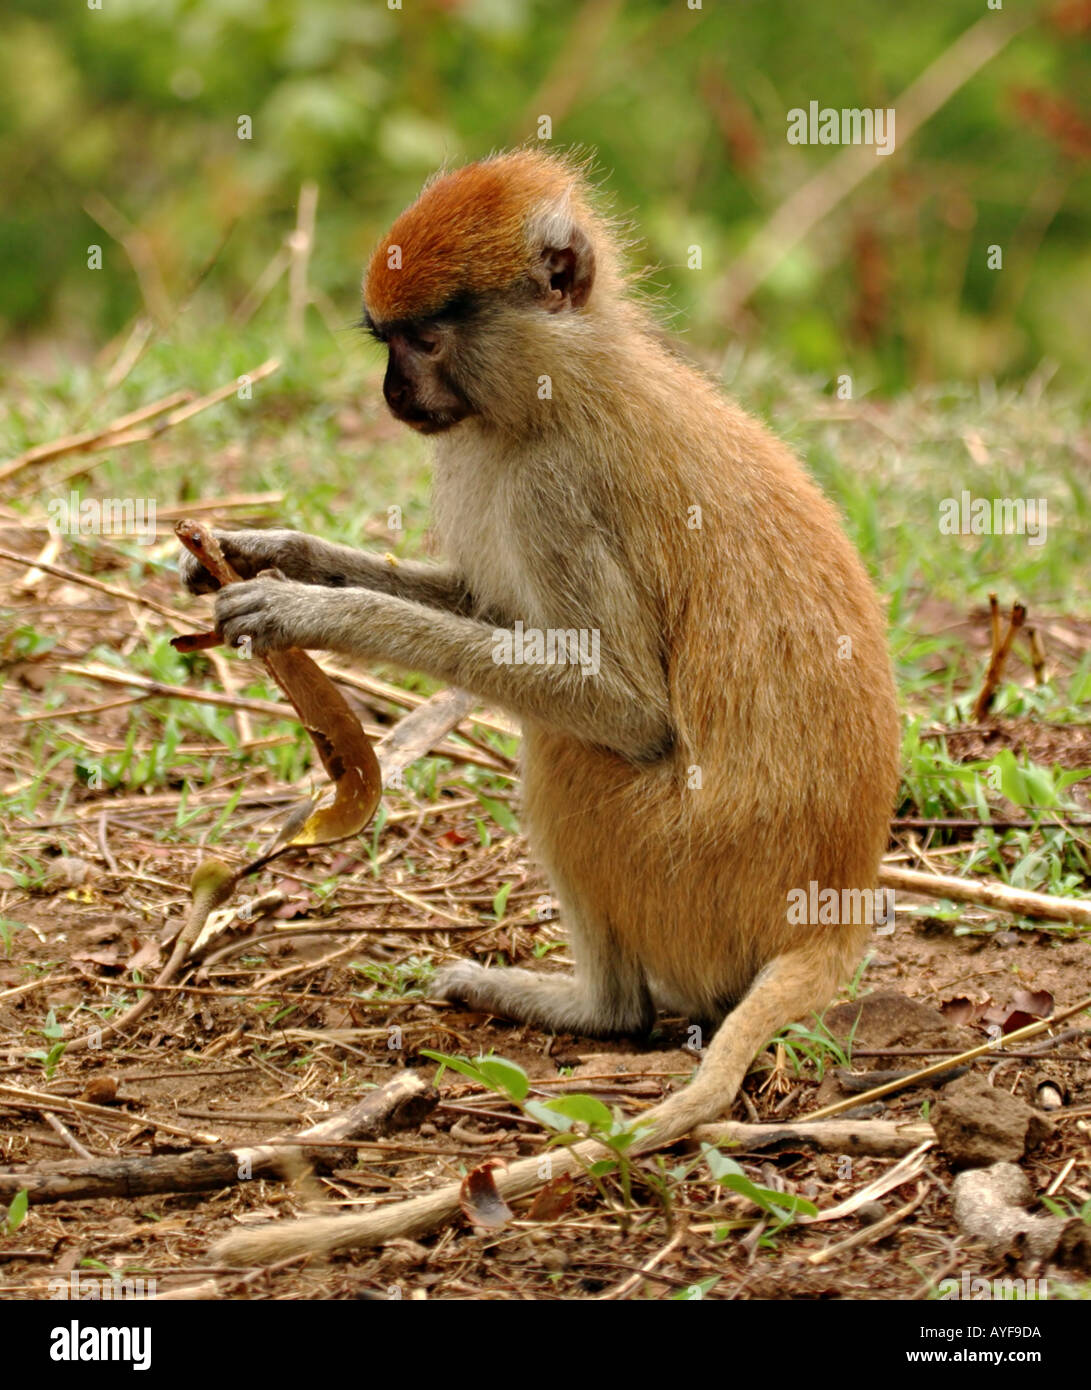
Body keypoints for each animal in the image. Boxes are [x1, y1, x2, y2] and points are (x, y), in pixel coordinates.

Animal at [182, 150, 901, 1261]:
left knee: (565, 753)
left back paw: (595, 1010)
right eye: (386, 340)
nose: (391, 391)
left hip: (680, 867)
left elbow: (623, 709)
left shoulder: (560, 489)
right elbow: (487, 609)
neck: (571, 373)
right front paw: (273, 549)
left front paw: (311, 607)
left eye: (425, 337)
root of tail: (830, 903)